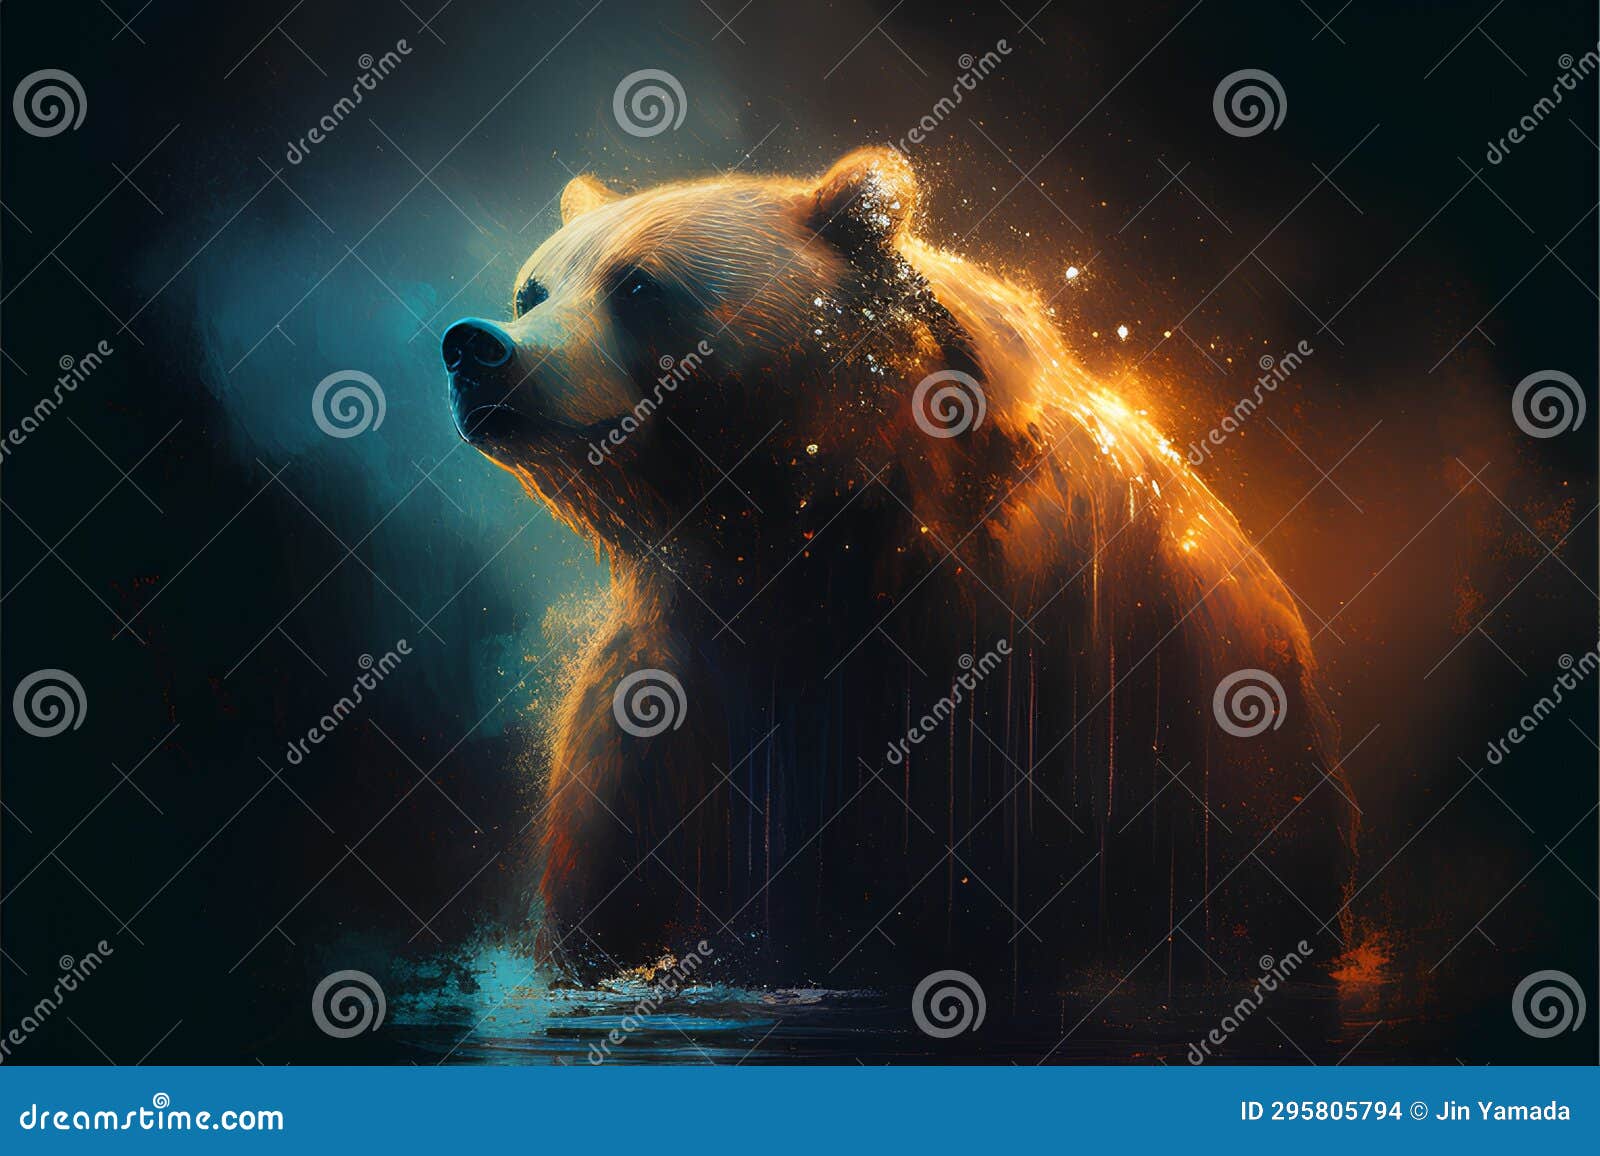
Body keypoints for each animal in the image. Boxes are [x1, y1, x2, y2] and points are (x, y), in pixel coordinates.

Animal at [440, 147, 1357, 1007]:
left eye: (637, 285)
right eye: (533, 290)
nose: (479, 347)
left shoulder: (1036, 670)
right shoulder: (671, 697)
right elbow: (616, 878)